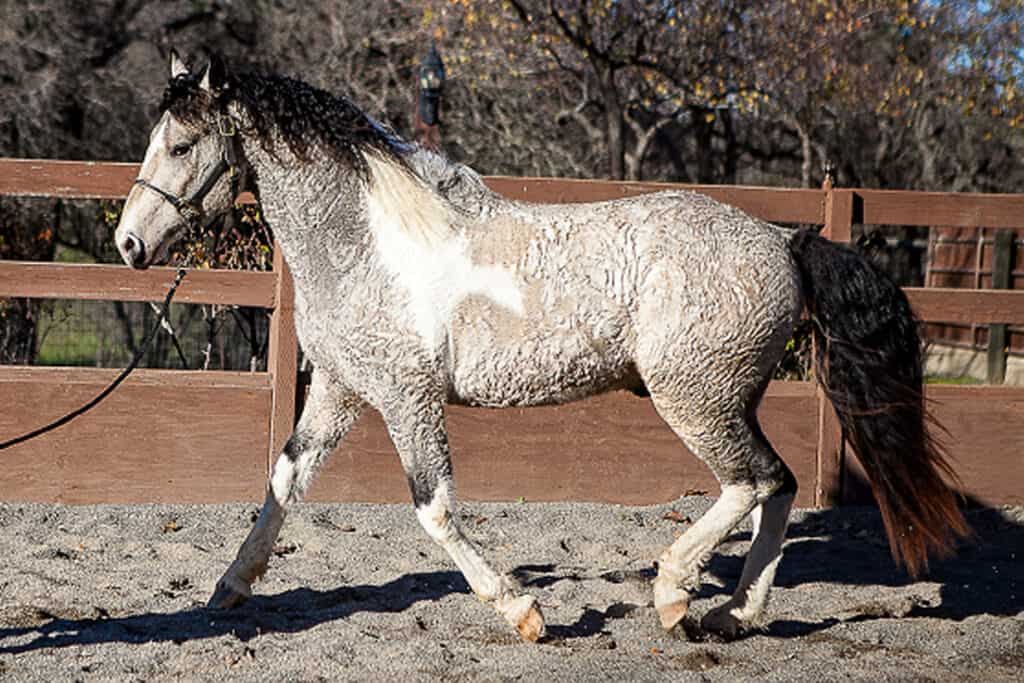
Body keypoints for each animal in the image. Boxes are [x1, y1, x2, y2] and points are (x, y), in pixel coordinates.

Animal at [114, 52, 969, 642]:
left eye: (182, 145)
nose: (128, 244)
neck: (369, 242)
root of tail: (785, 242)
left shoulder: (408, 398)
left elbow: (434, 508)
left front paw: (524, 611)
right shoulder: (341, 387)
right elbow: (285, 479)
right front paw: (230, 585)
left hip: (695, 397)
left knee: (753, 481)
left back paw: (674, 592)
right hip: (727, 397)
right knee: (780, 485)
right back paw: (733, 611)